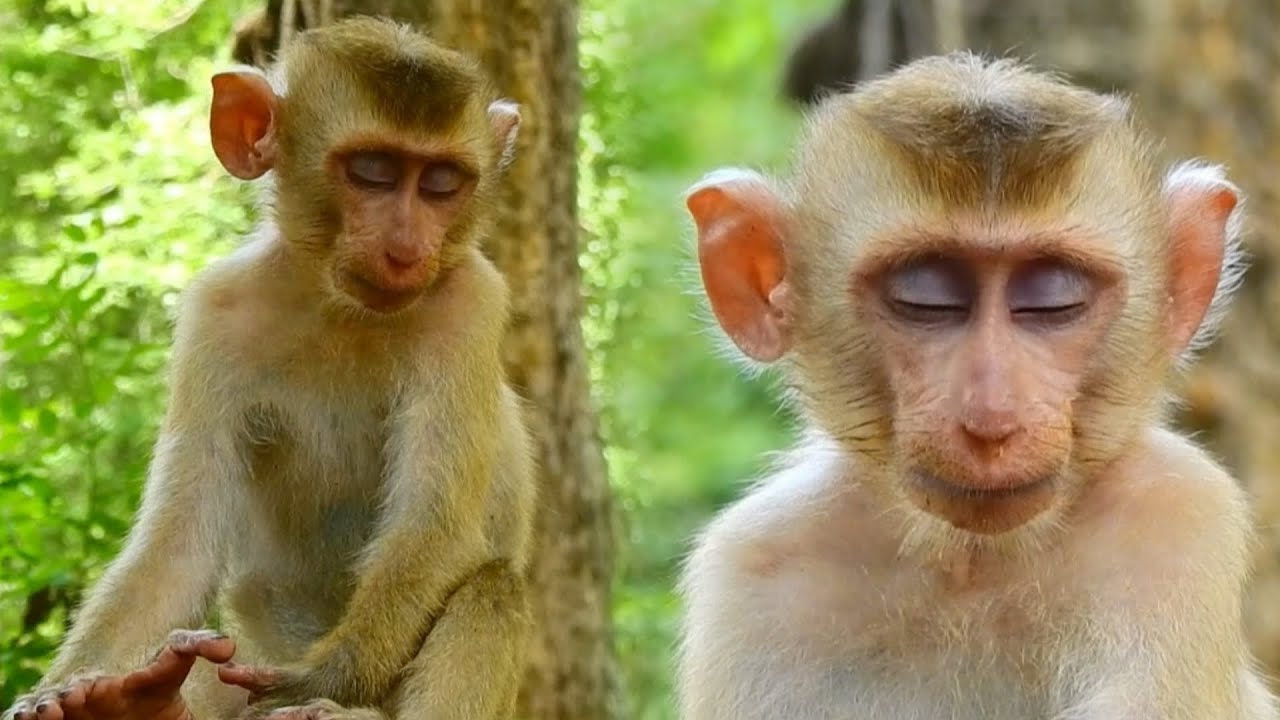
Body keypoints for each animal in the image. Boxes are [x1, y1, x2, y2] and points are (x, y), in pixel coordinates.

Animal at [6, 17, 534, 720]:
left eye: (443, 183)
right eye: (372, 172)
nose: (407, 248)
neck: (337, 305)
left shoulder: (473, 302)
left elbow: (433, 528)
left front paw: (315, 682)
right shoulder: (212, 316)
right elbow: (177, 545)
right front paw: (67, 688)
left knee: (494, 590)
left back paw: (338, 709)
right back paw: (143, 701)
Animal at [678, 53, 1280, 719]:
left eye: (1052, 299)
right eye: (926, 297)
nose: (992, 419)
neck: (971, 563)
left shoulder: (1176, 517)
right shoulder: (751, 576)